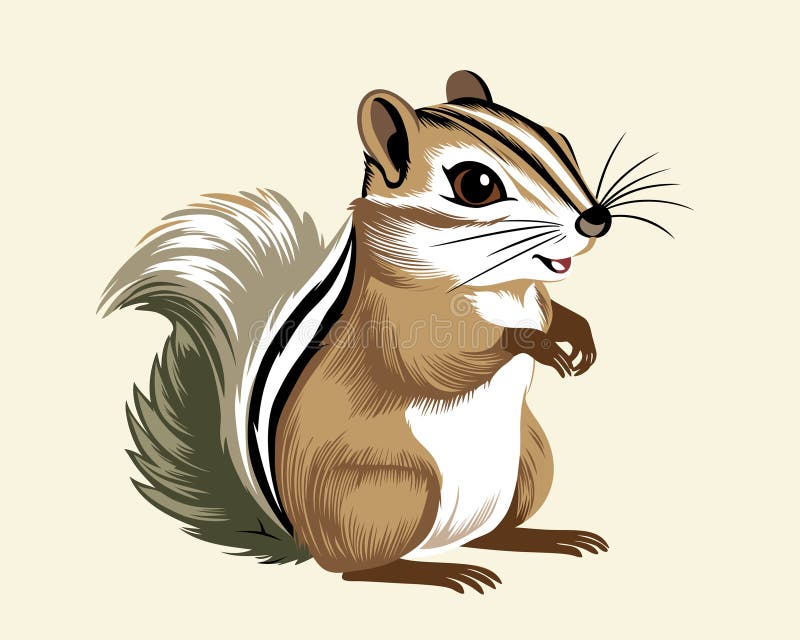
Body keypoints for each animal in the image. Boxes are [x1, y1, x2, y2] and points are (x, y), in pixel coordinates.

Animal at [101, 70, 672, 593]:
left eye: (561, 141)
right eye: (475, 185)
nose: (596, 219)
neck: (502, 285)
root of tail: (303, 537)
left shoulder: (537, 297)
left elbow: (558, 311)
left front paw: (581, 337)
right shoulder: (399, 321)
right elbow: (438, 363)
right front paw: (535, 344)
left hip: (531, 465)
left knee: (494, 533)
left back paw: (542, 538)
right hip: (394, 487)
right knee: (358, 570)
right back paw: (437, 572)